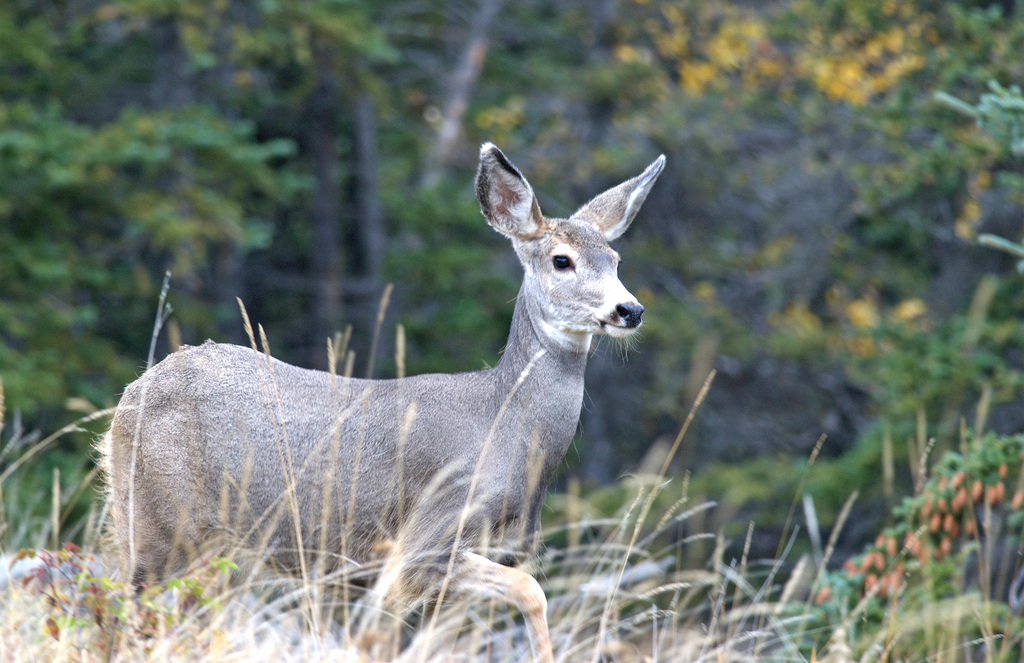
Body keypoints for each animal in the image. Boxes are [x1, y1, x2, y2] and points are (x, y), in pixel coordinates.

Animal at [100, 143, 665, 662]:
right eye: (561, 260)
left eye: (615, 260)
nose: (630, 309)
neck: (509, 426)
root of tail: (130, 397)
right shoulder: (424, 538)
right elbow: (532, 592)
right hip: (159, 520)